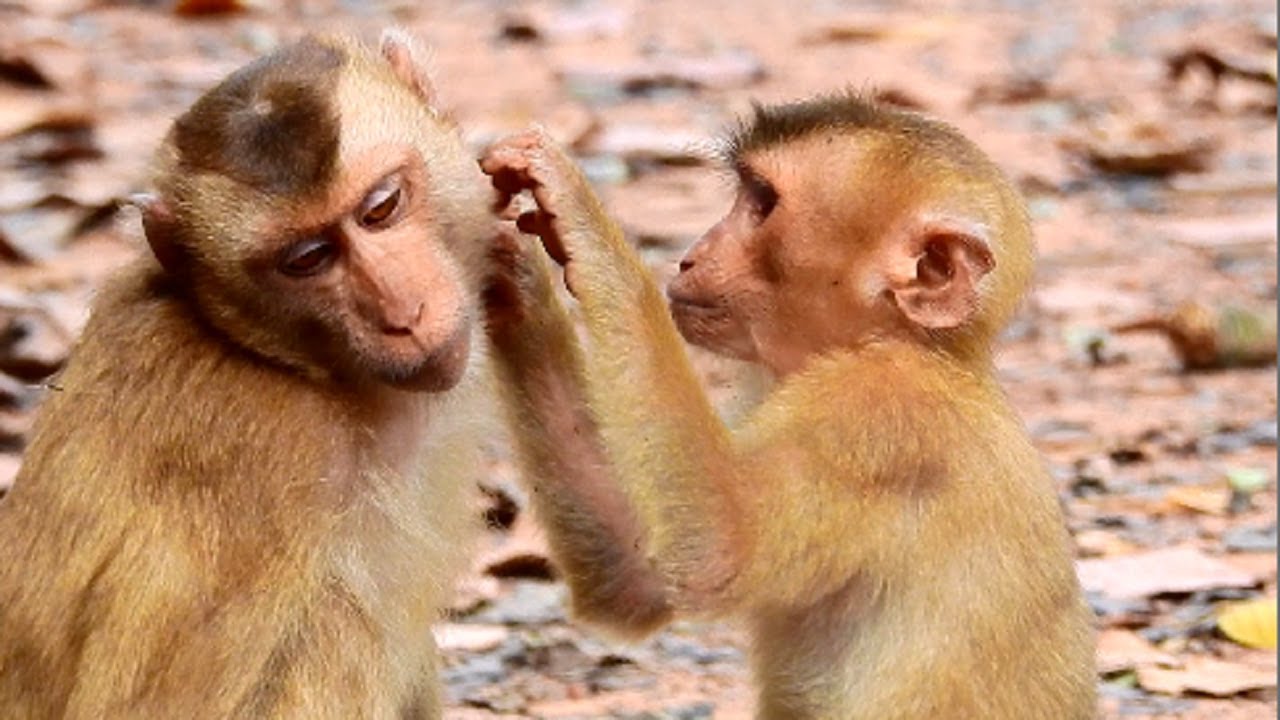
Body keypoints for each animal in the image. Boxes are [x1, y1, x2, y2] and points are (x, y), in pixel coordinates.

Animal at [479, 95, 1097, 719]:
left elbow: (721, 550)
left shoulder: (875, 412)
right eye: (747, 194)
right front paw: (511, 273)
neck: (917, 346)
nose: (691, 257)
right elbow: (631, 578)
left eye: (763, 203)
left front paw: (576, 211)